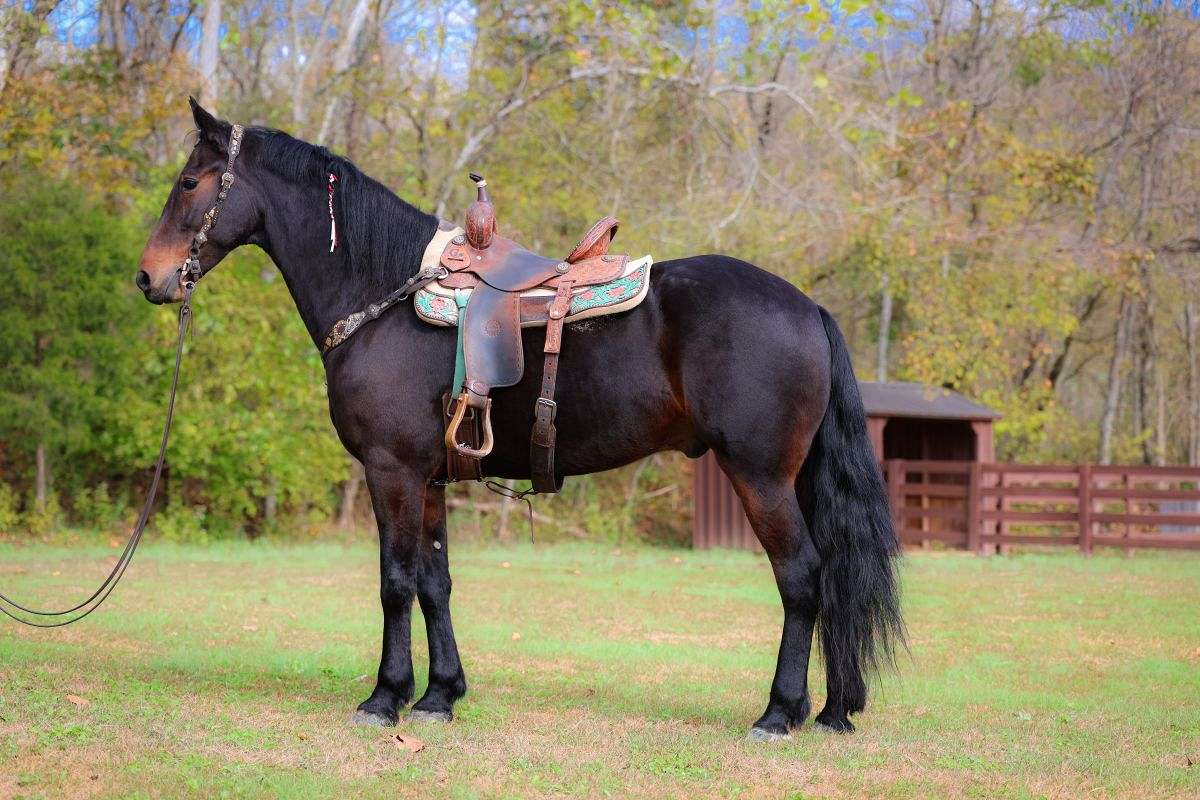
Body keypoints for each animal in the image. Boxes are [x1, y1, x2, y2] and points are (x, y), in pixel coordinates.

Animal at [135, 98, 903, 740]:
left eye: (190, 182)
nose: (148, 277)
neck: (383, 297)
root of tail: (808, 307)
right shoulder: (430, 479)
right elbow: (435, 583)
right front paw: (439, 695)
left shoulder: (392, 471)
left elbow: (395, 582)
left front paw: (385, 698)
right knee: (830, 578)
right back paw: (833, 709)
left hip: (760, 477)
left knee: (801, 578)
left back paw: (779, 712)